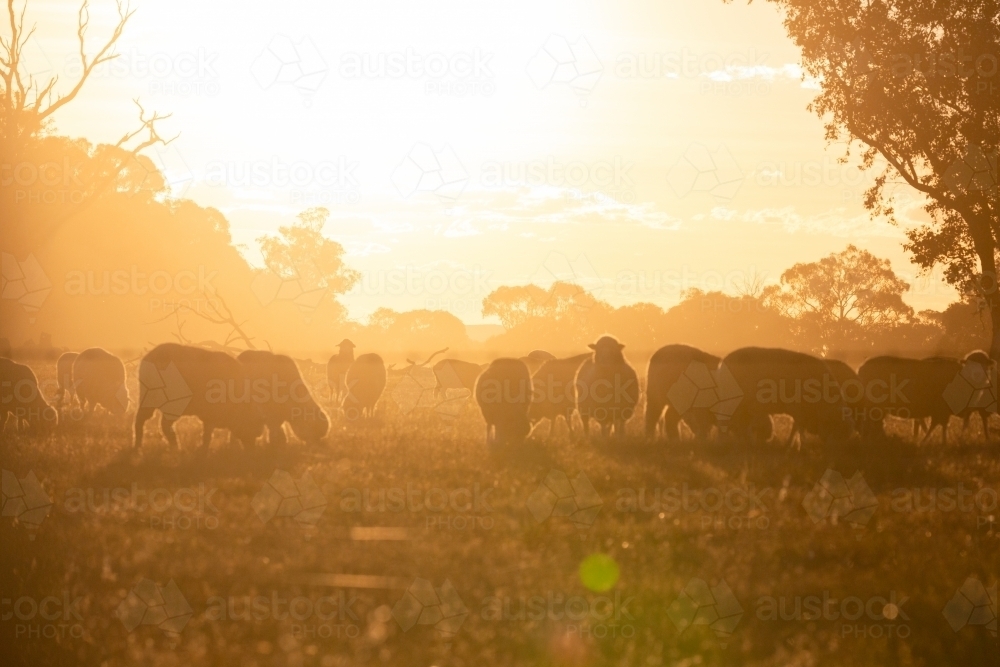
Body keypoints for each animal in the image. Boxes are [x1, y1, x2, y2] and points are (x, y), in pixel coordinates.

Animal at [134, 343, 264, 451]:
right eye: (253, 427)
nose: (251, 449)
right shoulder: (211, 416)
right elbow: (207, 436)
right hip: (173, 405)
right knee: (164, 425)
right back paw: (176, 447)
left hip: (147, 400)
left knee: (140, 420)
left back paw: (138, 446)